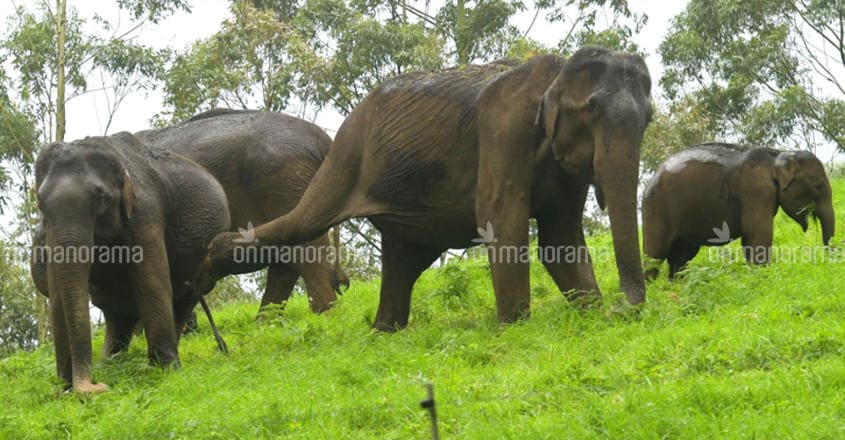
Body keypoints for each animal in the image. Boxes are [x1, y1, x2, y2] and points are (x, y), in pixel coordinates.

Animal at [31, 132, 230, 394]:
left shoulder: (146, 213)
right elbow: (56, 294)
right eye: (40, 205)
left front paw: (165, 372)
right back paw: (112, 361)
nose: (96, 386)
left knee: (184, 300)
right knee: (118, 315)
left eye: (100, 201)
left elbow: (151, 283)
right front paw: (64, 387)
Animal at [206, 46, 653, 331]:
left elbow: (559, 236)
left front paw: (590, 312)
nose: (621, 309)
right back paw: (215, 253)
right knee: (307, 220)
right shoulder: (502, 132)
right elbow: (500, 219)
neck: (557, 71)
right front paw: (514, 327)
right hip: (347, 152)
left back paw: (384, 332)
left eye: (650, 118)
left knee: (402, 257)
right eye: (591, 109)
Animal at [642, 143, 835, 279]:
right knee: (654, 255)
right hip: (657, 208)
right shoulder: (756, 190)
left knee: (681, 257)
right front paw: (763, 274)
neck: (777, 154)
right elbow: (760, 232)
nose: (827, 261)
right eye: (818, 186)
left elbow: (749, 237)